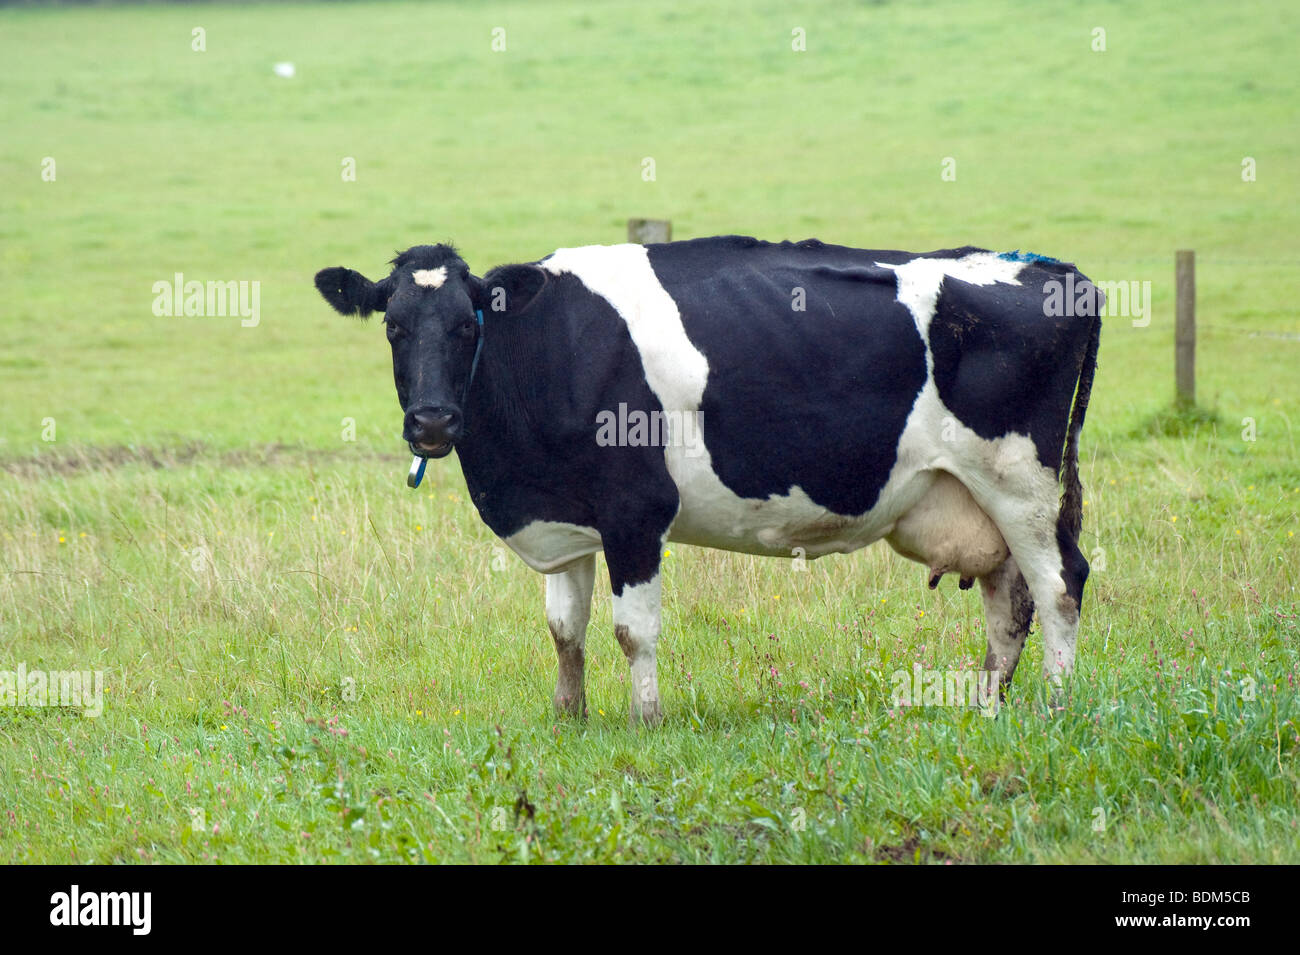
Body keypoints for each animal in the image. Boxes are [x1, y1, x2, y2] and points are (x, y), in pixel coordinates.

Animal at [315, 237, 1102, 725]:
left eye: (466, 325)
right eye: (392, 327)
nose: (432, 421)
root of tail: (1052, 269)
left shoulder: (635, 511)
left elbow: (632, 630)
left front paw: (646, 719)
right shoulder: (564, 520)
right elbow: (565, 629)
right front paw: (570, 716)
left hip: (1020, 481)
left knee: (1061, 585)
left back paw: (1057, 707)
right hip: (981, 499)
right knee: (1010, 603)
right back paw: (988, 706)